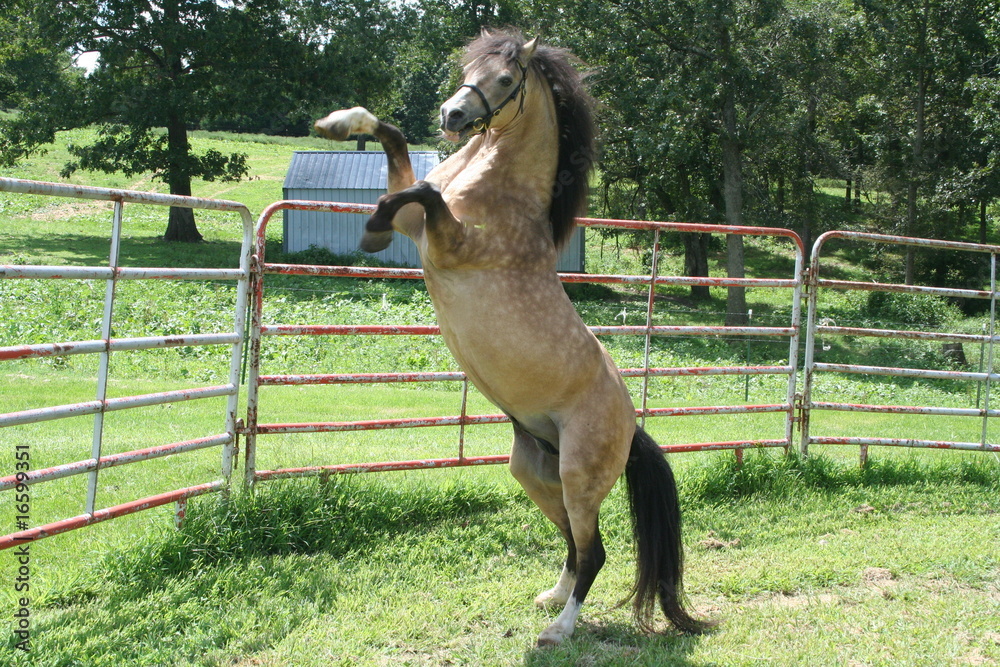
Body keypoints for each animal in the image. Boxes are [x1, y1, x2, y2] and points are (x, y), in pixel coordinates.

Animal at [314, 28, 710, 646]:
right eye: (468, 69)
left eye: (504, 79)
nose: (452, 114)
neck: (499, 186)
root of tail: (631, 428)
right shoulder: (420, 228)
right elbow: (399, 149)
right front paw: (338, 123)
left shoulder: (450, 241)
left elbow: (421, 190)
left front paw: (371, 231)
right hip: (535, 472)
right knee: (574, 540)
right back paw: (552, 596)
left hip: (579, 474)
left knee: (594, 552)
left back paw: (559, 629)